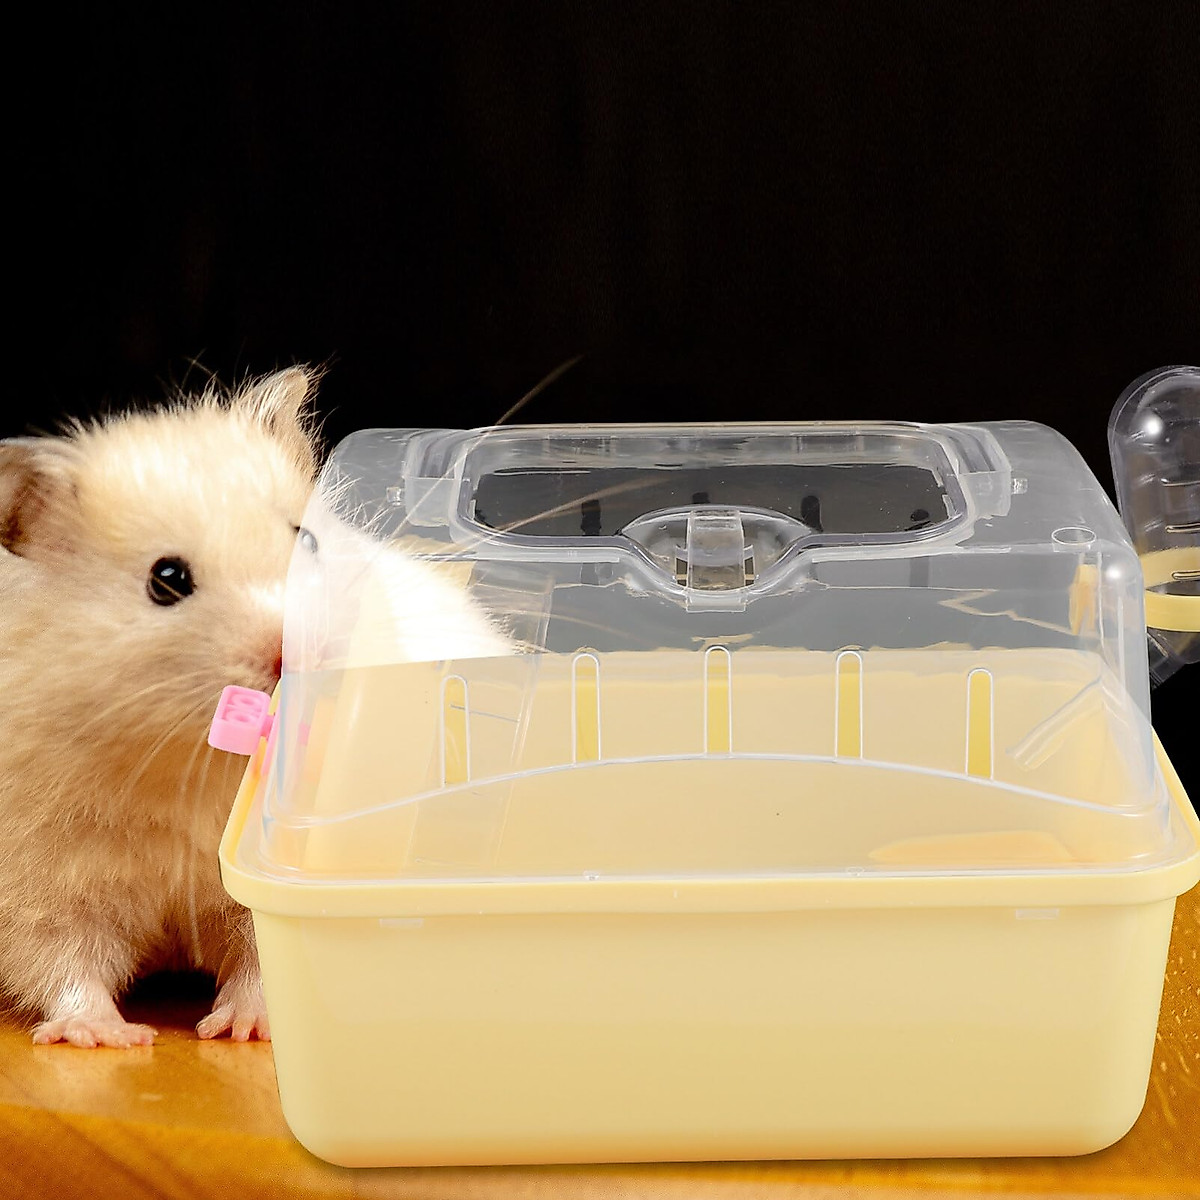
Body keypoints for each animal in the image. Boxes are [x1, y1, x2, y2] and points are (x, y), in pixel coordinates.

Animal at [0, 367, 321, 1047]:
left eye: (304, 538)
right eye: (166, 579)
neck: (187, 765)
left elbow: (259, 957)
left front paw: (242, 1030)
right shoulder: (37, 887)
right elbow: (63, 962)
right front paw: (107, 1036)